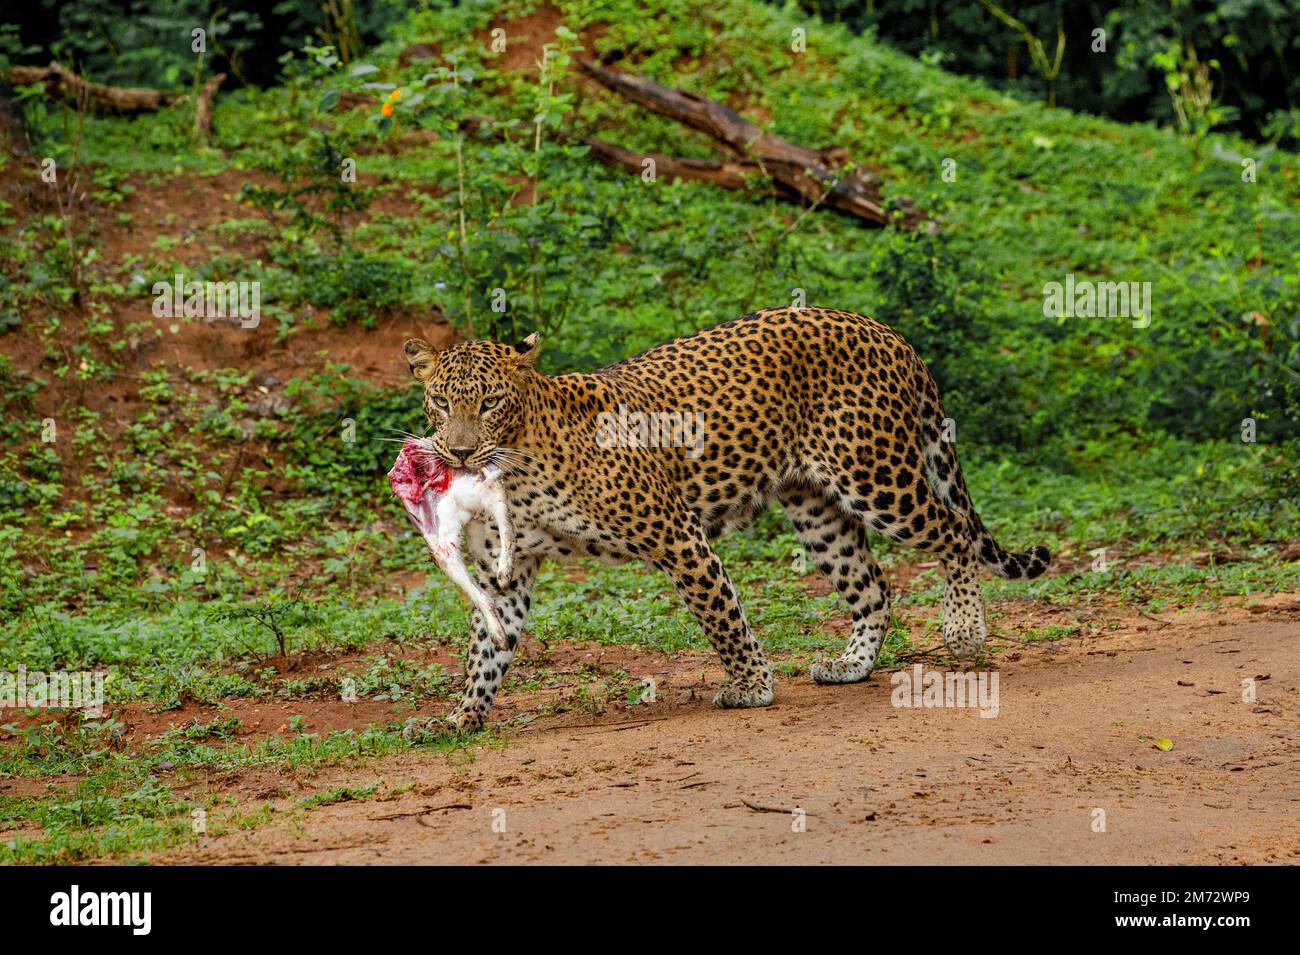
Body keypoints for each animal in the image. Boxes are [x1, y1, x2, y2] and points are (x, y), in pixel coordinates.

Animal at [399, 306, 1049, 734]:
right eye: (441, 401)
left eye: (490, 402)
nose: (459, 452)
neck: (511, 466)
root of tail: (881, 328)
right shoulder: (504, 572)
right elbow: (487, 649)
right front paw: (460, 717)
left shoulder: (676, 533)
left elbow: (721, 615)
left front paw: (750, 688)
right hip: (817, 508)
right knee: (873, 589)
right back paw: (852, 665)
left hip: (879, 478)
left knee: (954, 529)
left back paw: (964, 630)